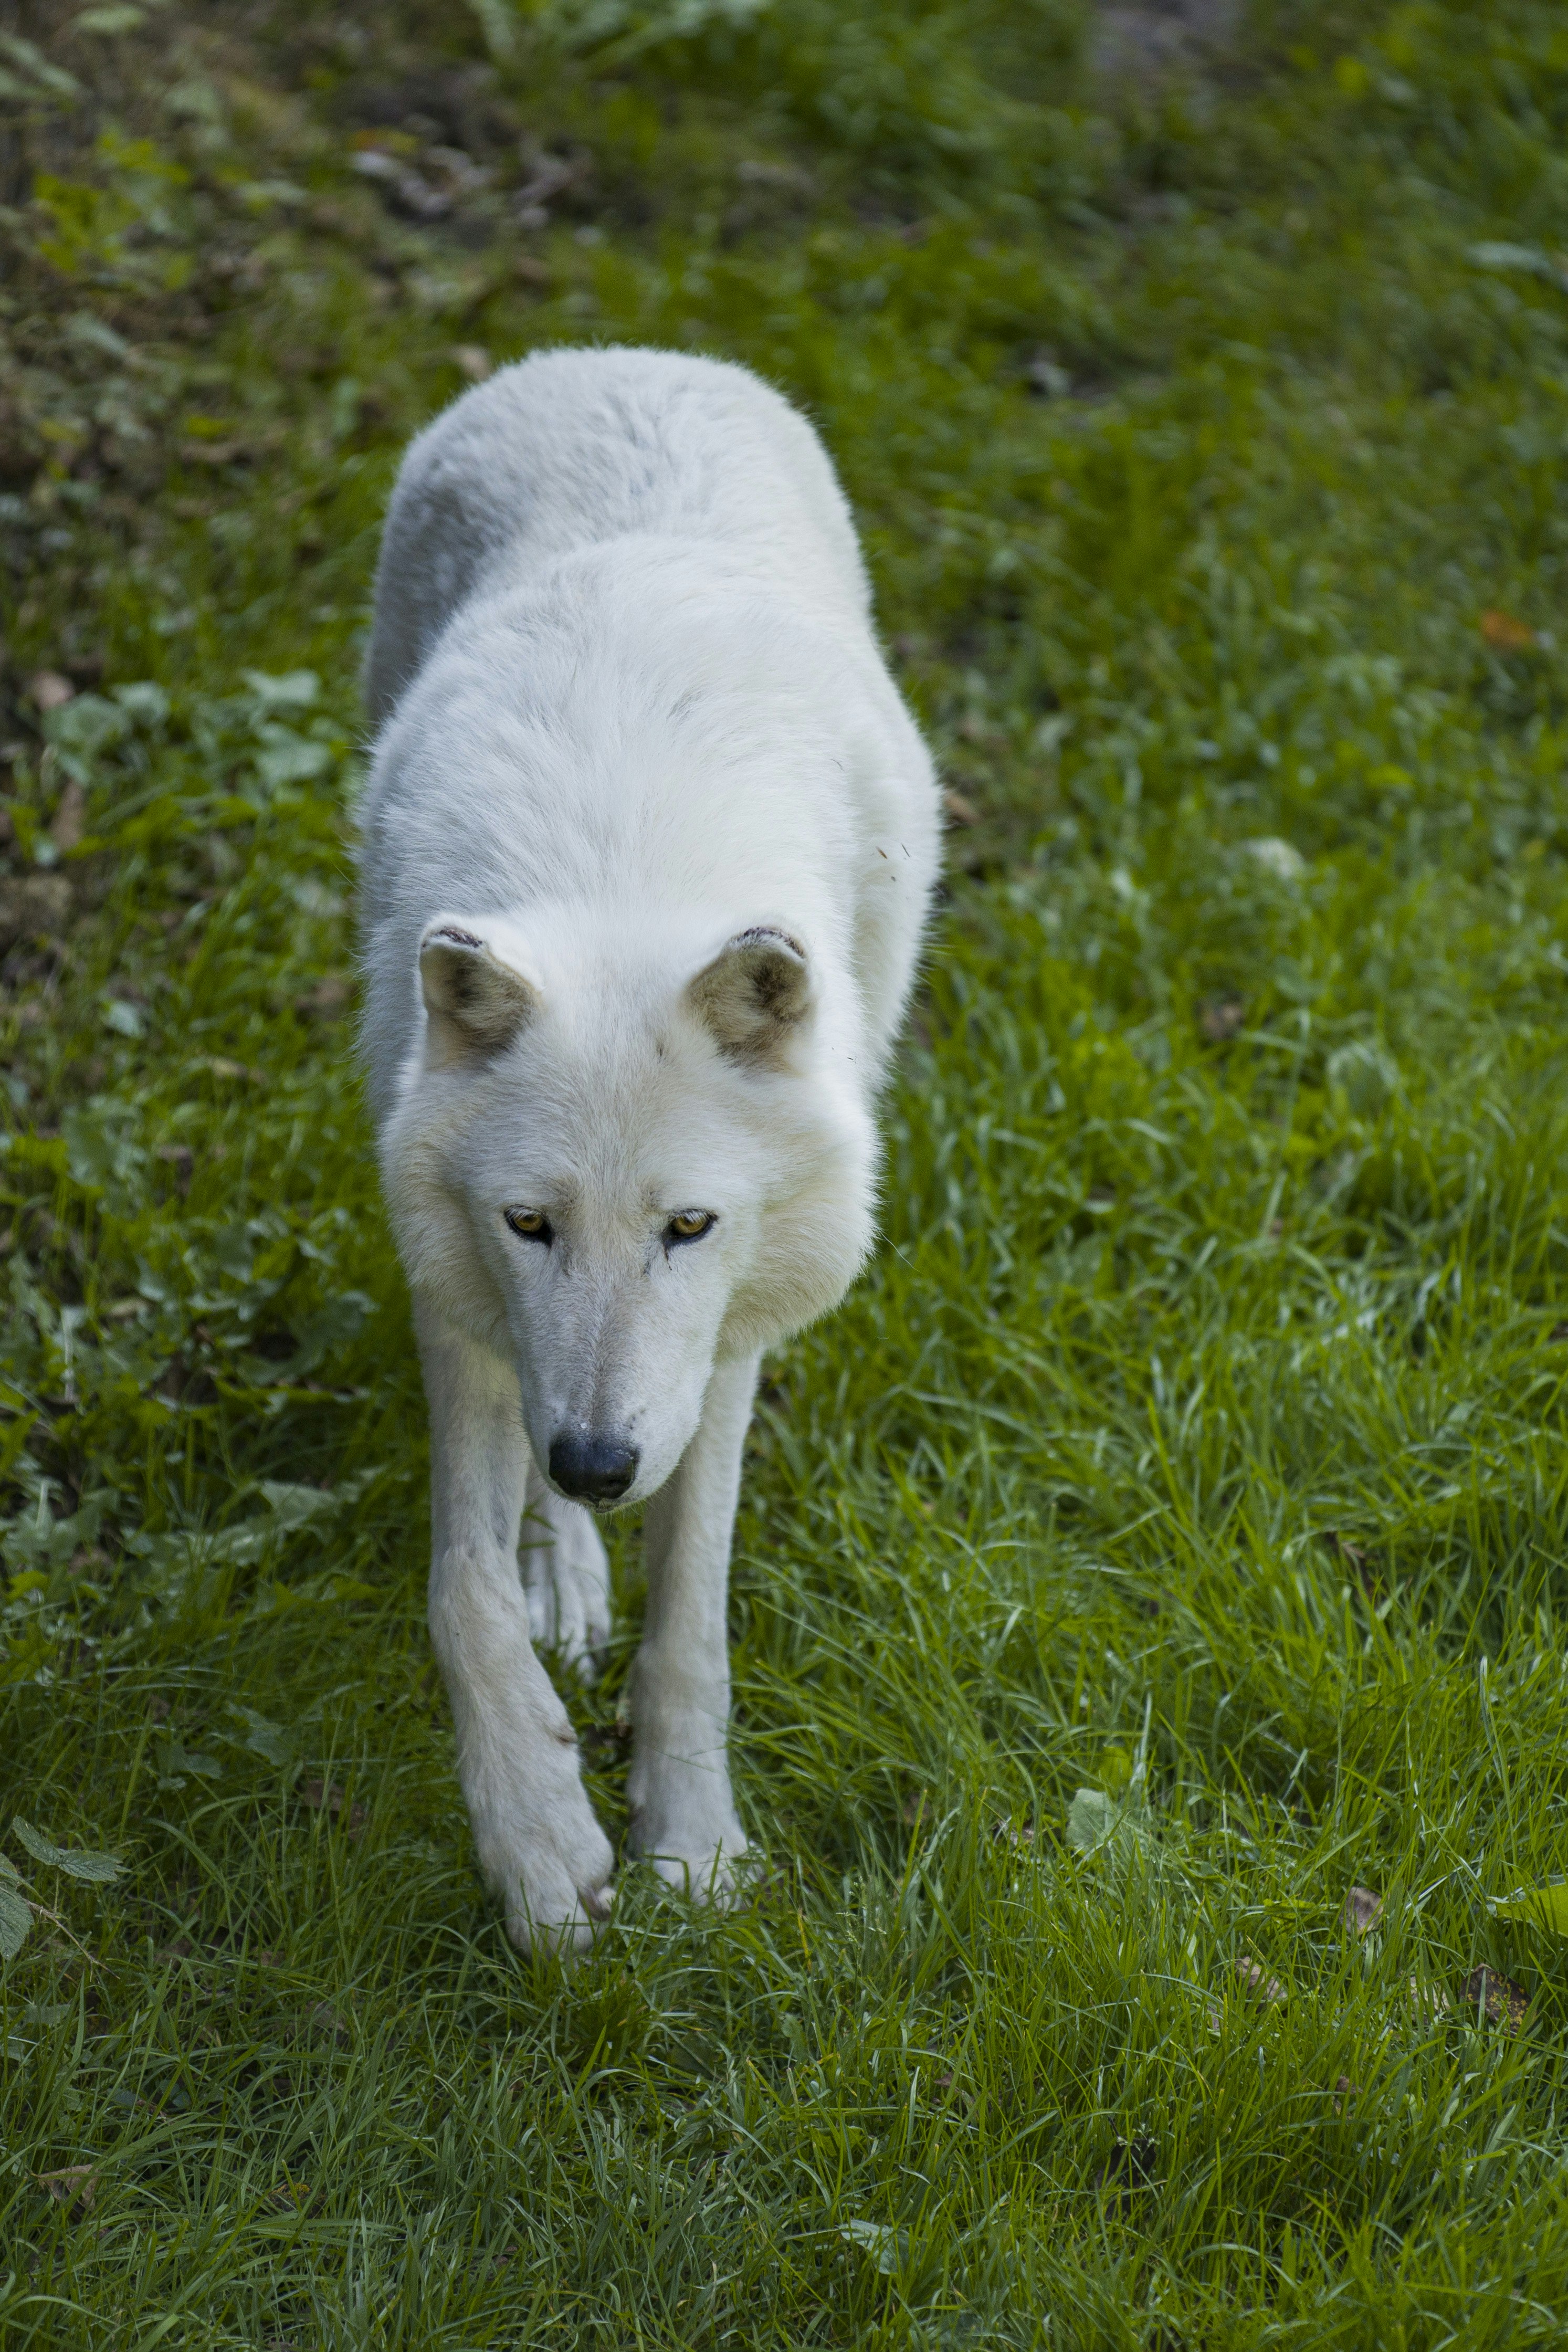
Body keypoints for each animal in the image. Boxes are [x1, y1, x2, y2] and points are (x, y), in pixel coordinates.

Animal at [359, 346, 939, 1951]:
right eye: (531, 1224)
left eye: (689, 1228)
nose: (601, 1460)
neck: (624, 877)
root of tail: (611, 357)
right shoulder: (458, 1289)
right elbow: (459, 1589)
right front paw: (536, 1840)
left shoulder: (723, 1340)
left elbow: (696, 1613)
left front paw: (691, 1846)